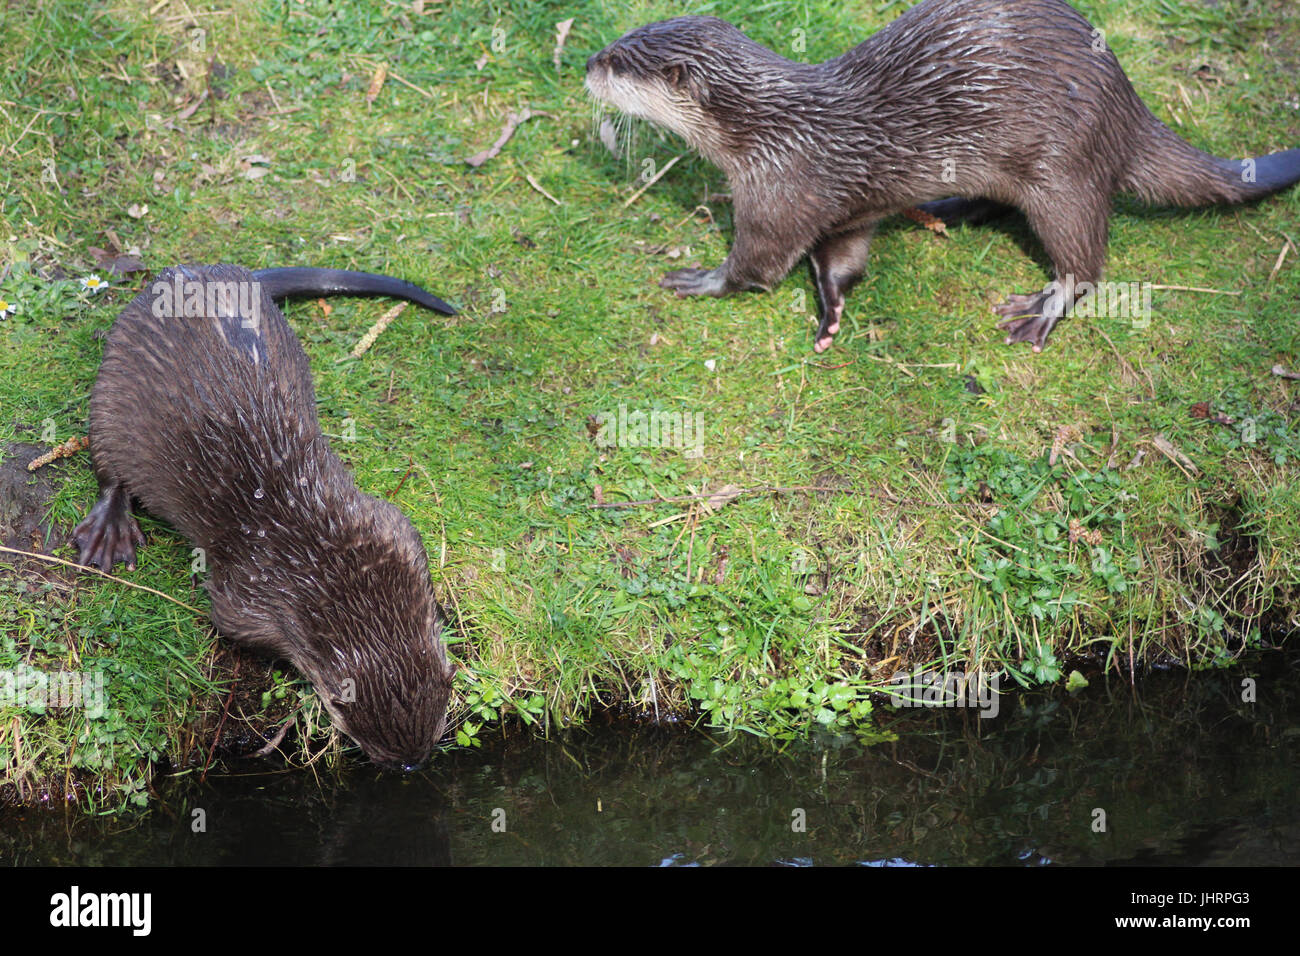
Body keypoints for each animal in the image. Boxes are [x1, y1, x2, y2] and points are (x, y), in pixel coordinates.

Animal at [74, 264, 455, 769]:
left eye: (433, 727)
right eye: (365, 737)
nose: (411, 763)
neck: (328, 557)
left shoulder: (389, 529)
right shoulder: (245, 600)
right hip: (110, 397)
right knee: (110, 471)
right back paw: (108, 532)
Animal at [586, 0, 1300, 352]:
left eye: (619, 61)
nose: (588, 62)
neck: (773, 130)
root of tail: (1128, 103)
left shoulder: (779, 193)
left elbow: (756, 267)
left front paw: (701, 279)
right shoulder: (849, 207)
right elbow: (841, 257)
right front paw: (832, 312)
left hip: (1064, 171)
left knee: (1086, 263)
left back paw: (1039, 310)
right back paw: (951, 207)